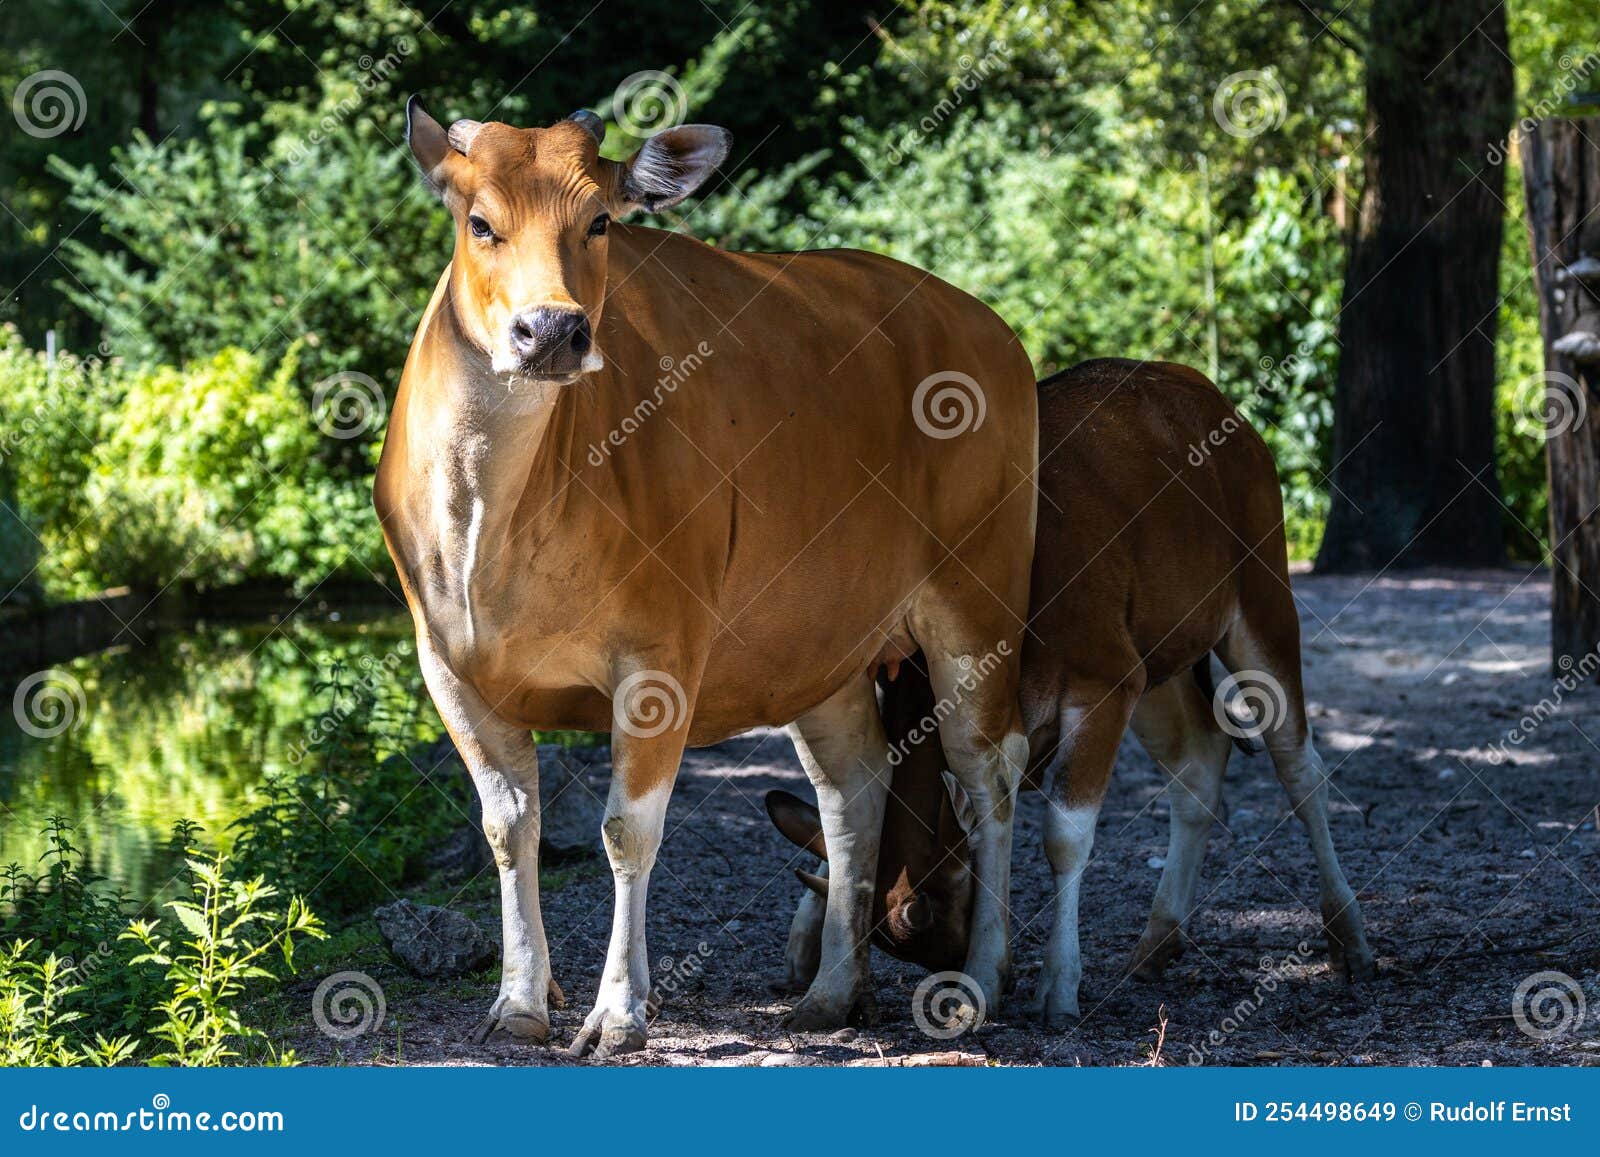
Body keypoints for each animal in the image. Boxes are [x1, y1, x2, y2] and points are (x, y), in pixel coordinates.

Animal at [373, 99, 1037, 1057]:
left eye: (600, 221)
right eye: (480, 223)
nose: (552, 331)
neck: (492, 523)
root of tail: (988, 330)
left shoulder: (661, 660)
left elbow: (627, 830)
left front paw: (618, 1012)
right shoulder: (448, 667)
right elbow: (508, 827)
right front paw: (521, 1001)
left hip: (976, 604)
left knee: (988, 774)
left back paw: (982, 974)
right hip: (817, 646)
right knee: (853, 788)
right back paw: (833, 989)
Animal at [769, 359, 1377, 1026]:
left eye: (950, 897)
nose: (955, 957)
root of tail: (1217, 406)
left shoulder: (1103, 682)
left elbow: (1064, 835)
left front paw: (1058, 986)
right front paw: (808, 947)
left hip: (1262, 596)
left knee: (1298, 764)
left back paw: (1349, 937)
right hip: (1159, 665)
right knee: (1199, 758)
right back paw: (1158, 940)